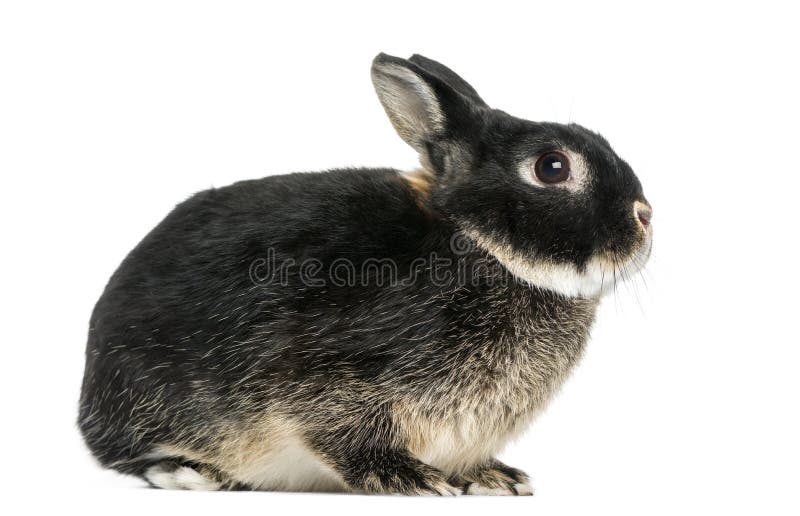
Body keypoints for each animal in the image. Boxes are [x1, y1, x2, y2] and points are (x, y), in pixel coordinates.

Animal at [78, 52, 652, 495]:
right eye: (552, 167)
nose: (645, 217)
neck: (474, 244)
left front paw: (495, 479)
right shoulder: (328, 376)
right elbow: (345, 432)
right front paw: (411, 479)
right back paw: (190, 472)